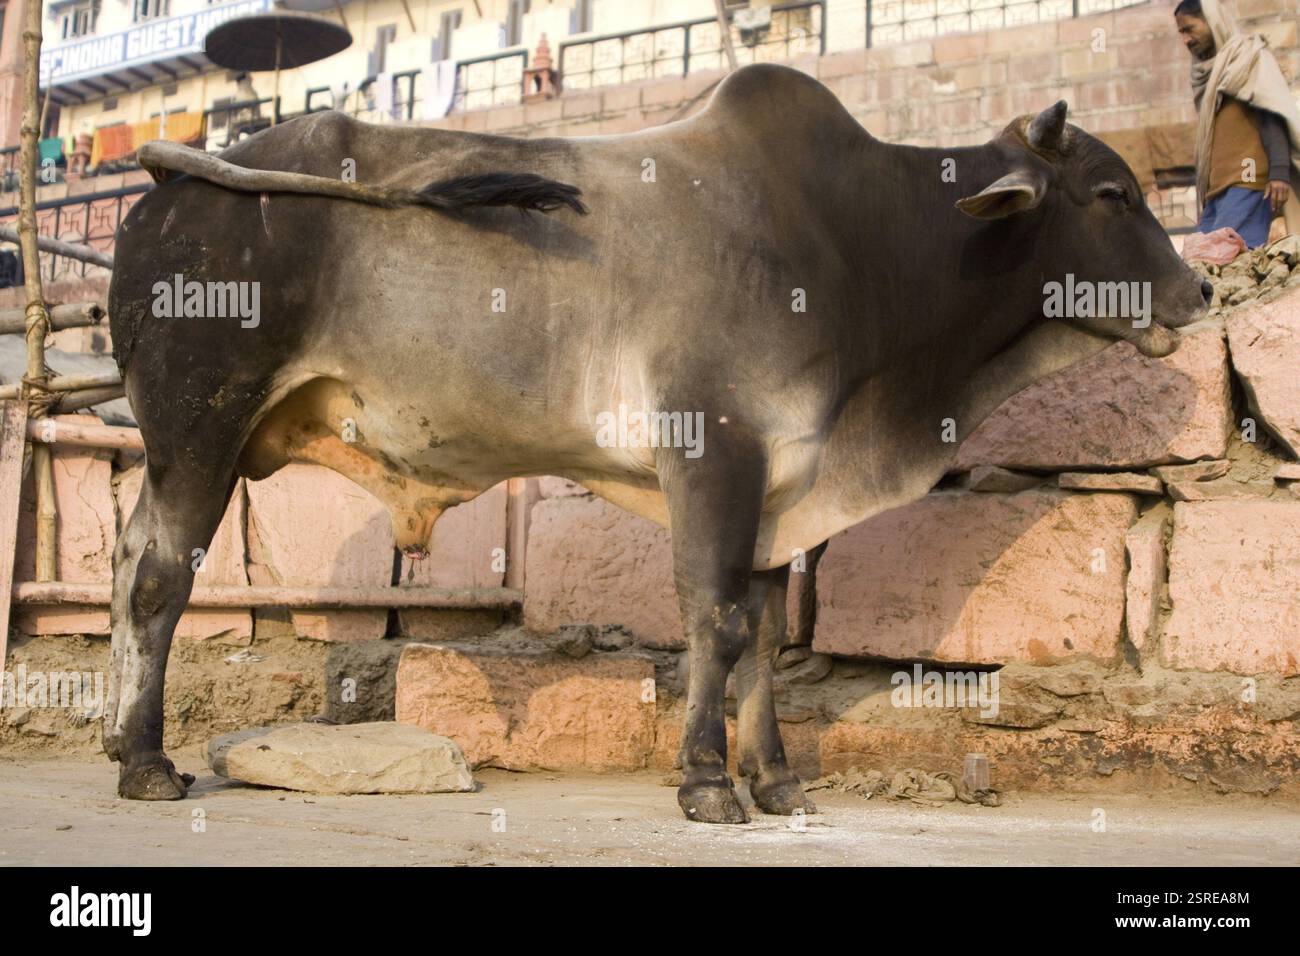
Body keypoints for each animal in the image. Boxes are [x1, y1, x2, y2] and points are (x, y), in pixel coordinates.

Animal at [104, 63, 1210, 823]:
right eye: (1114, 193)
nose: (1199, 288)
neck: (857, 246)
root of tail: (169, 173)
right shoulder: (714, 451)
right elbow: (713, 621)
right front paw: (707, 782)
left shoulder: (779, 488)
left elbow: (764, 635)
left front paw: (776, 781)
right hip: (202, 422)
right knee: (159, 580)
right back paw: (150, 764)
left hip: (176, 443)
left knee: (125, 562)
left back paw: (120, 741)